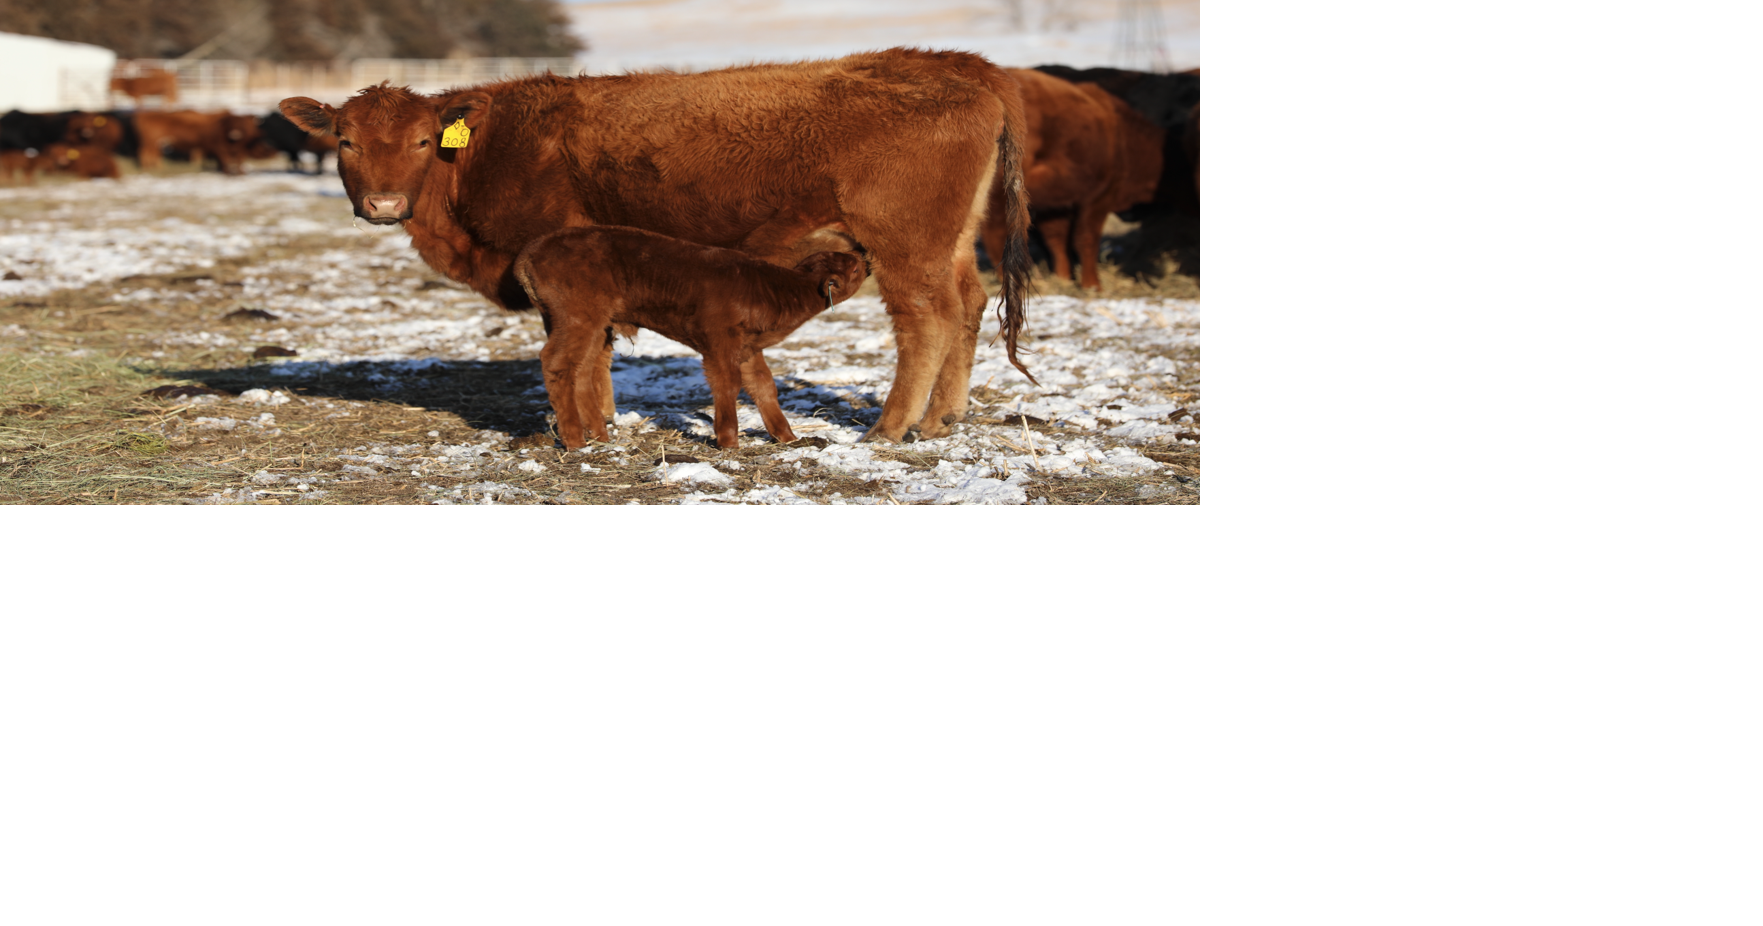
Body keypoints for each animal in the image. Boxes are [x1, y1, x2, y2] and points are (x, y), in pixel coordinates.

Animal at [516, 226, 869, 450]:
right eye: (851, 266)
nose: (865, 256)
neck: (771, 291)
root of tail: (528, 253)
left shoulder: (747, 347)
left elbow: (763, 386)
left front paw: (788, 437)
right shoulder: (719, 342)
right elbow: (727, 385)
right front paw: (729, 442)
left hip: (595, 325)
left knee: (582, 370)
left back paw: (600, 436)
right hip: (577, 317)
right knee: (556, 362)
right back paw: (575, 441)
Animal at [980, 69, 1162, 290]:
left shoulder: (1054, 205)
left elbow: (1057, 240)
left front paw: (1064, 278)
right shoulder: (1098, 198)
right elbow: (1086, 240)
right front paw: (1092, 284)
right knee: (995, 231)